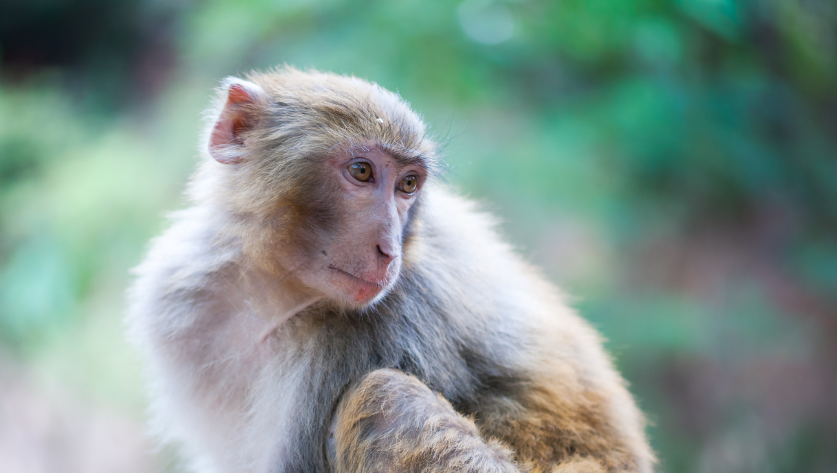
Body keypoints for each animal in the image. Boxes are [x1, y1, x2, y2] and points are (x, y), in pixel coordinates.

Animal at [126, 66, 655, 473]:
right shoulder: (179, 300)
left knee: (386, 402)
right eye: (361, 172)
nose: (389, 250)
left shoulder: (376, 332)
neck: (273, 289)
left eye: (407, 184)